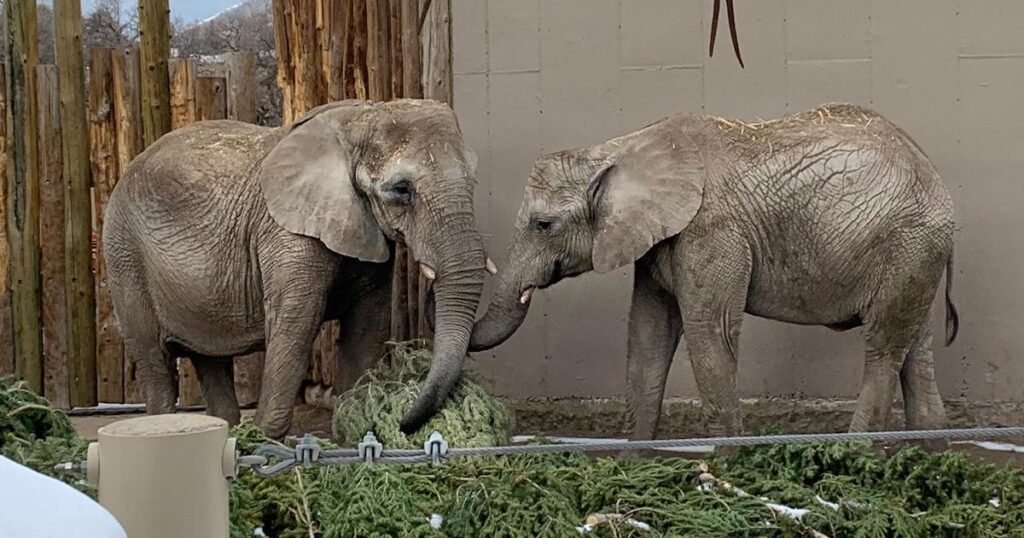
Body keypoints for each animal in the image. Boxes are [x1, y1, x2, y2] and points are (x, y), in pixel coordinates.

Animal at [103, 99, 492, 439]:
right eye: (401, 190)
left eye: (473, 183)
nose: (404, 423)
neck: (362, 117)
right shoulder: (284, 232)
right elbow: (296, 319)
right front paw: (266, 438)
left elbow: (367, 323)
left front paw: (352, 429)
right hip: (124, 254)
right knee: (154, 359)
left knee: (210, 357)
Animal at [466, 103, 959, 440]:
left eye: (542, 225)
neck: (619, 148)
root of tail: (938, 180)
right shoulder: (658, 241)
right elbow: (648, 337)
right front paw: (633, 466)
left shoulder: (711, 233)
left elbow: (710, 335)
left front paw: (726, 472)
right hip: (915, 255)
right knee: (915, 349)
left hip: (908, 242)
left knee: (882, 347)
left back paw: (852, 458)